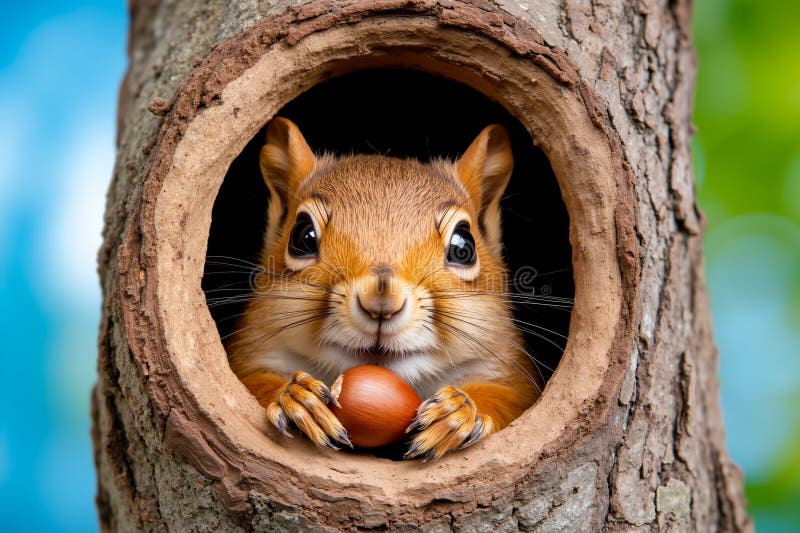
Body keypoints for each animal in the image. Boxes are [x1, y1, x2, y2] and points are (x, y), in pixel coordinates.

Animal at [227, 117, 541, 462]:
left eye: (464, 247)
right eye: (303, 236)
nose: (381, 301)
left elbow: (507, 398)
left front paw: (458, 412)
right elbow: (254, 383)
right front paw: (296, 398)